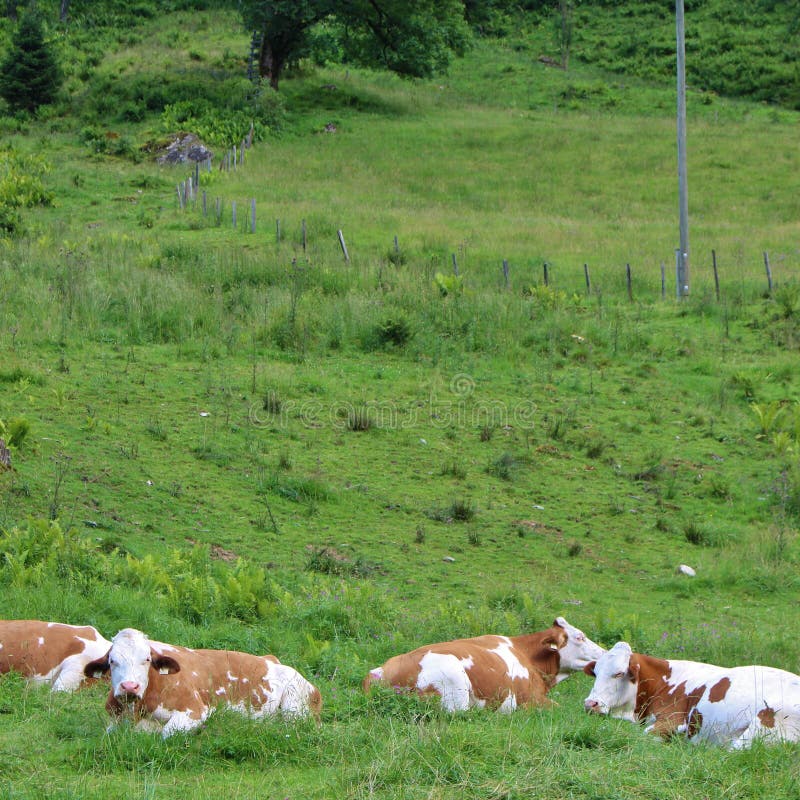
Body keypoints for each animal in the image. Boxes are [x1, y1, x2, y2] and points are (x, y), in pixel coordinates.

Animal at [84, 628, 322, 737]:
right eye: (112, 661)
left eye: (147, 659)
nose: (129, 687)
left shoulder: (194, 710)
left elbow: (165, 734)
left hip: (295, 708)